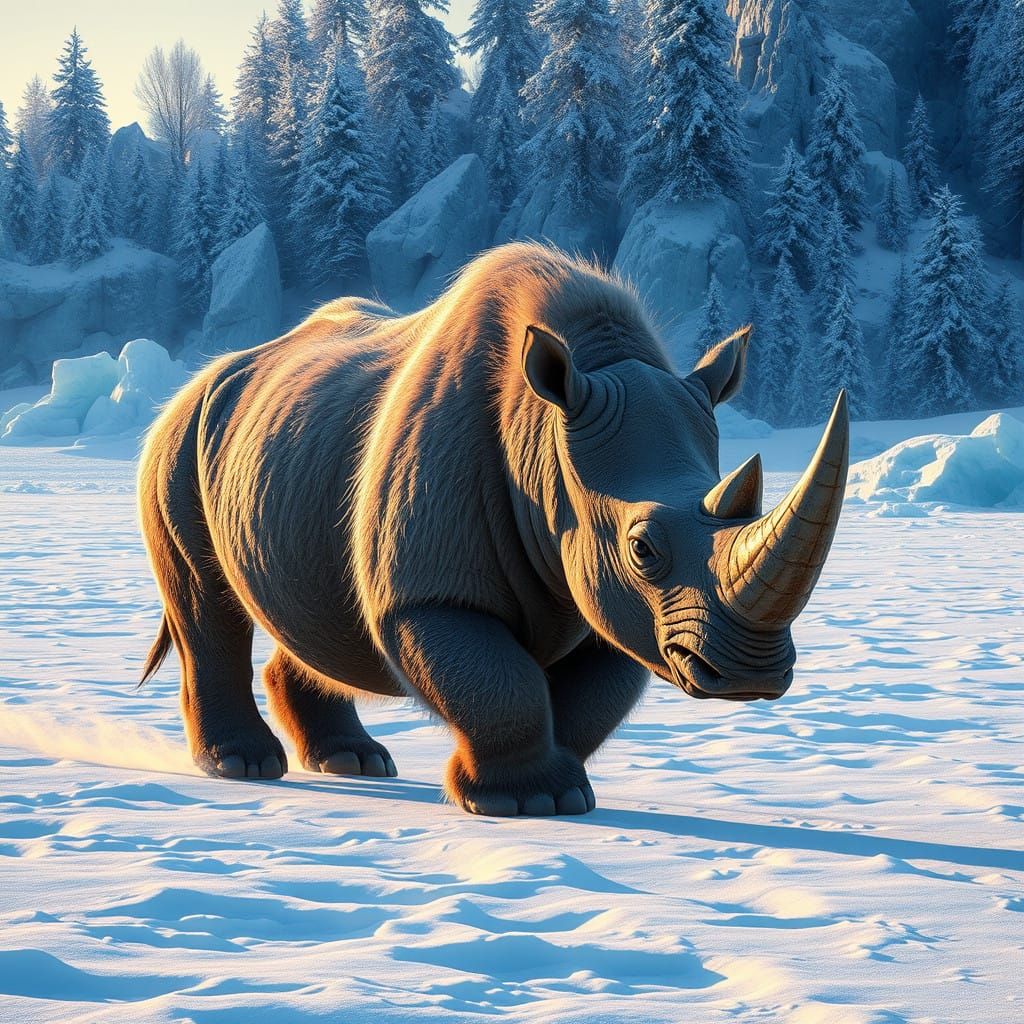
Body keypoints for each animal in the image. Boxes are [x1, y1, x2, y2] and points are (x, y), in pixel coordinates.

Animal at [139, 243, 848, 816]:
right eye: (642, 548)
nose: (753, 675)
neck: (546, 431)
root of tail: (196, 382)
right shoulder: (431, 592)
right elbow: (499, 684)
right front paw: (524, 803)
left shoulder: (619, 604)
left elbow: (587, 700)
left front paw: (566, 797)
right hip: (175, 444)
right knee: (208, 606)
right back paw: (244, 767)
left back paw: (356, 764)